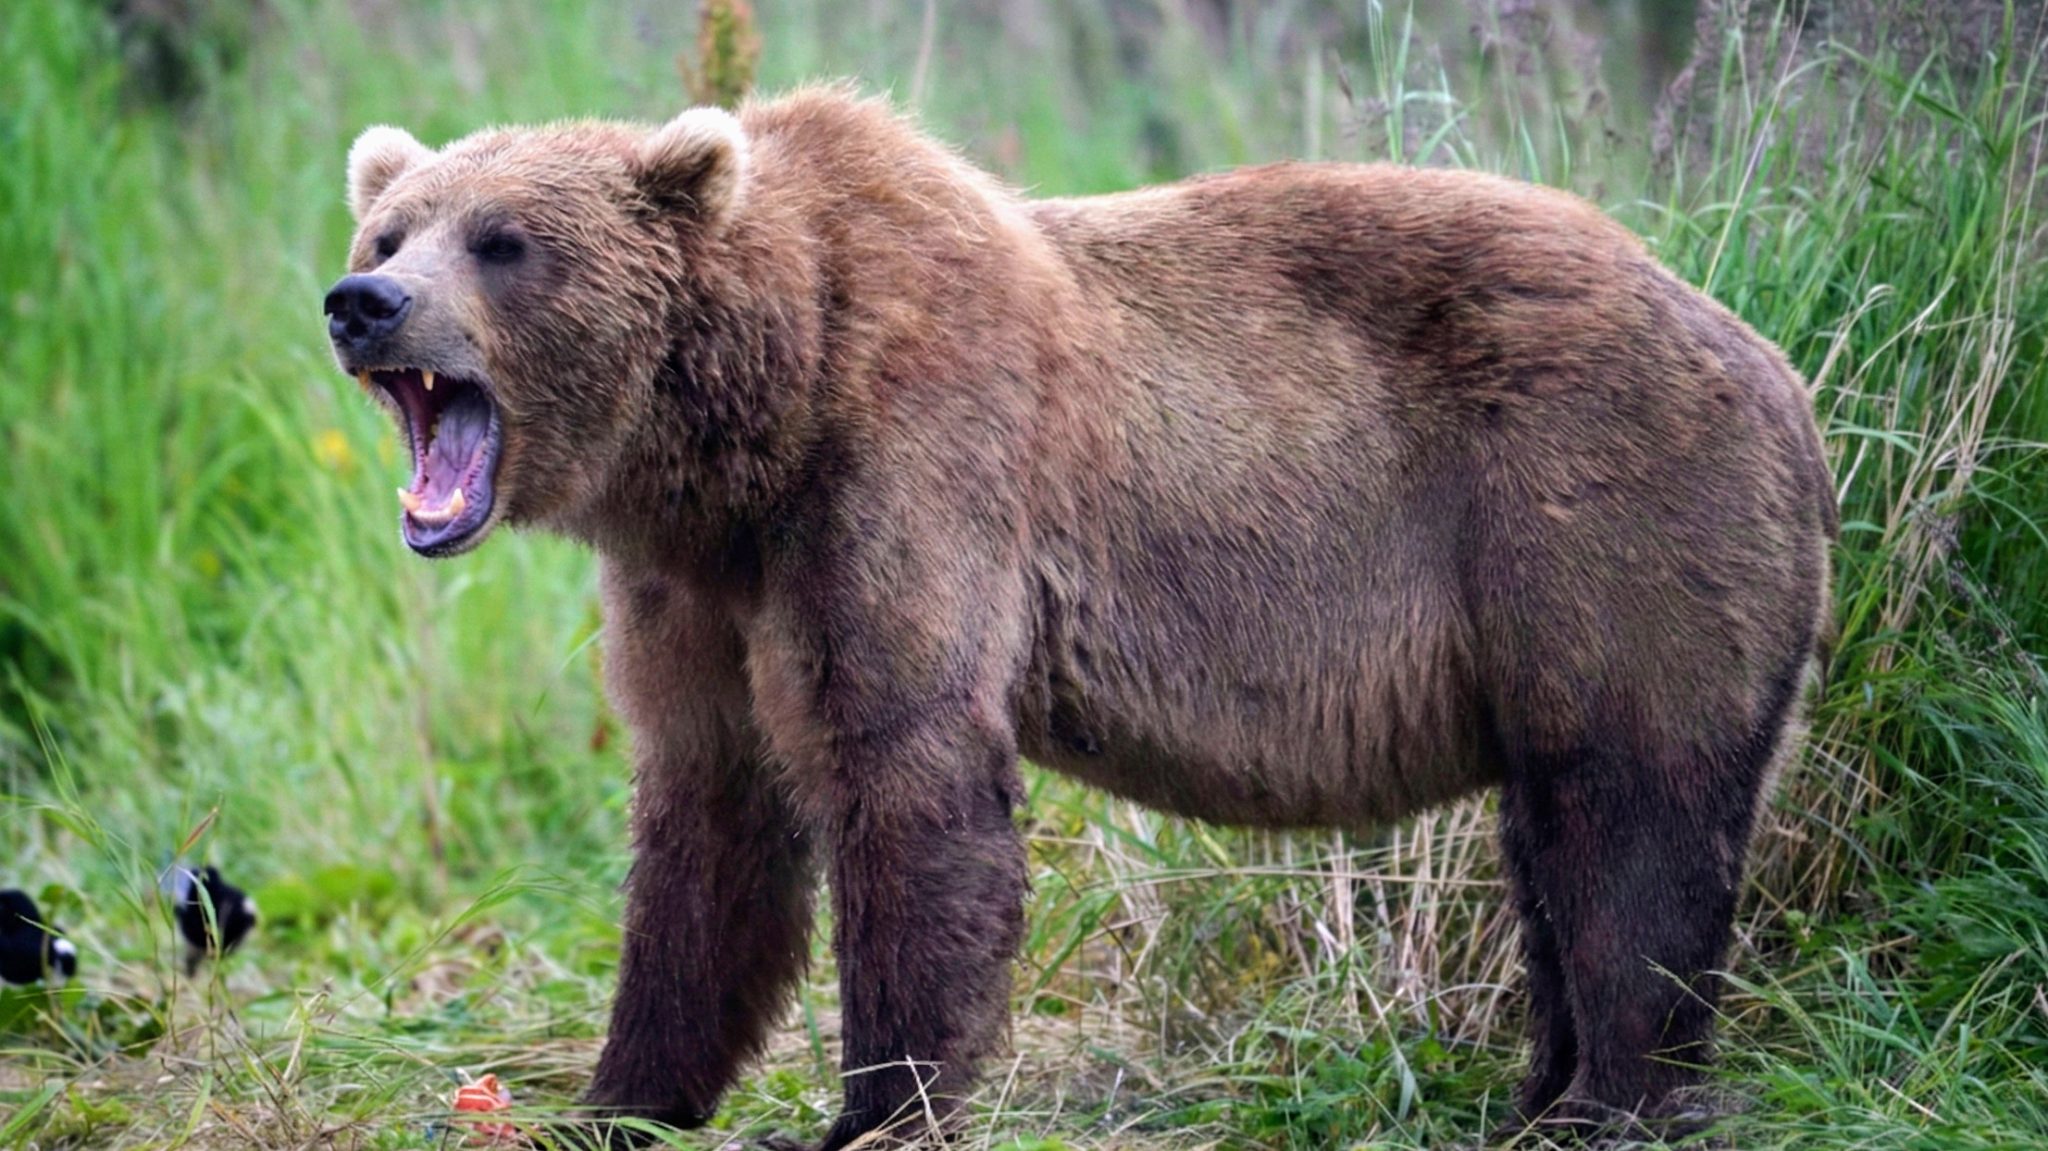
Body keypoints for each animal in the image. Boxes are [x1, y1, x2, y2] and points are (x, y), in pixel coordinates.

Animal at [324, 87, 1836, 1148]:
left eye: (504, 240)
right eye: (392, 228)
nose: (364, 302)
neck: (752, 417)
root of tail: (1776, 364)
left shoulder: (909, 470)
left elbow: (907, 776)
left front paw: (874, 1106)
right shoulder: (694, 585)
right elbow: (708, 827)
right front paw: (619, 1096)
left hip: (1597, 510)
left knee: (1631, 809)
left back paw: (1610, 1097)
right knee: (1553, 832)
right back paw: (1544, 1085)